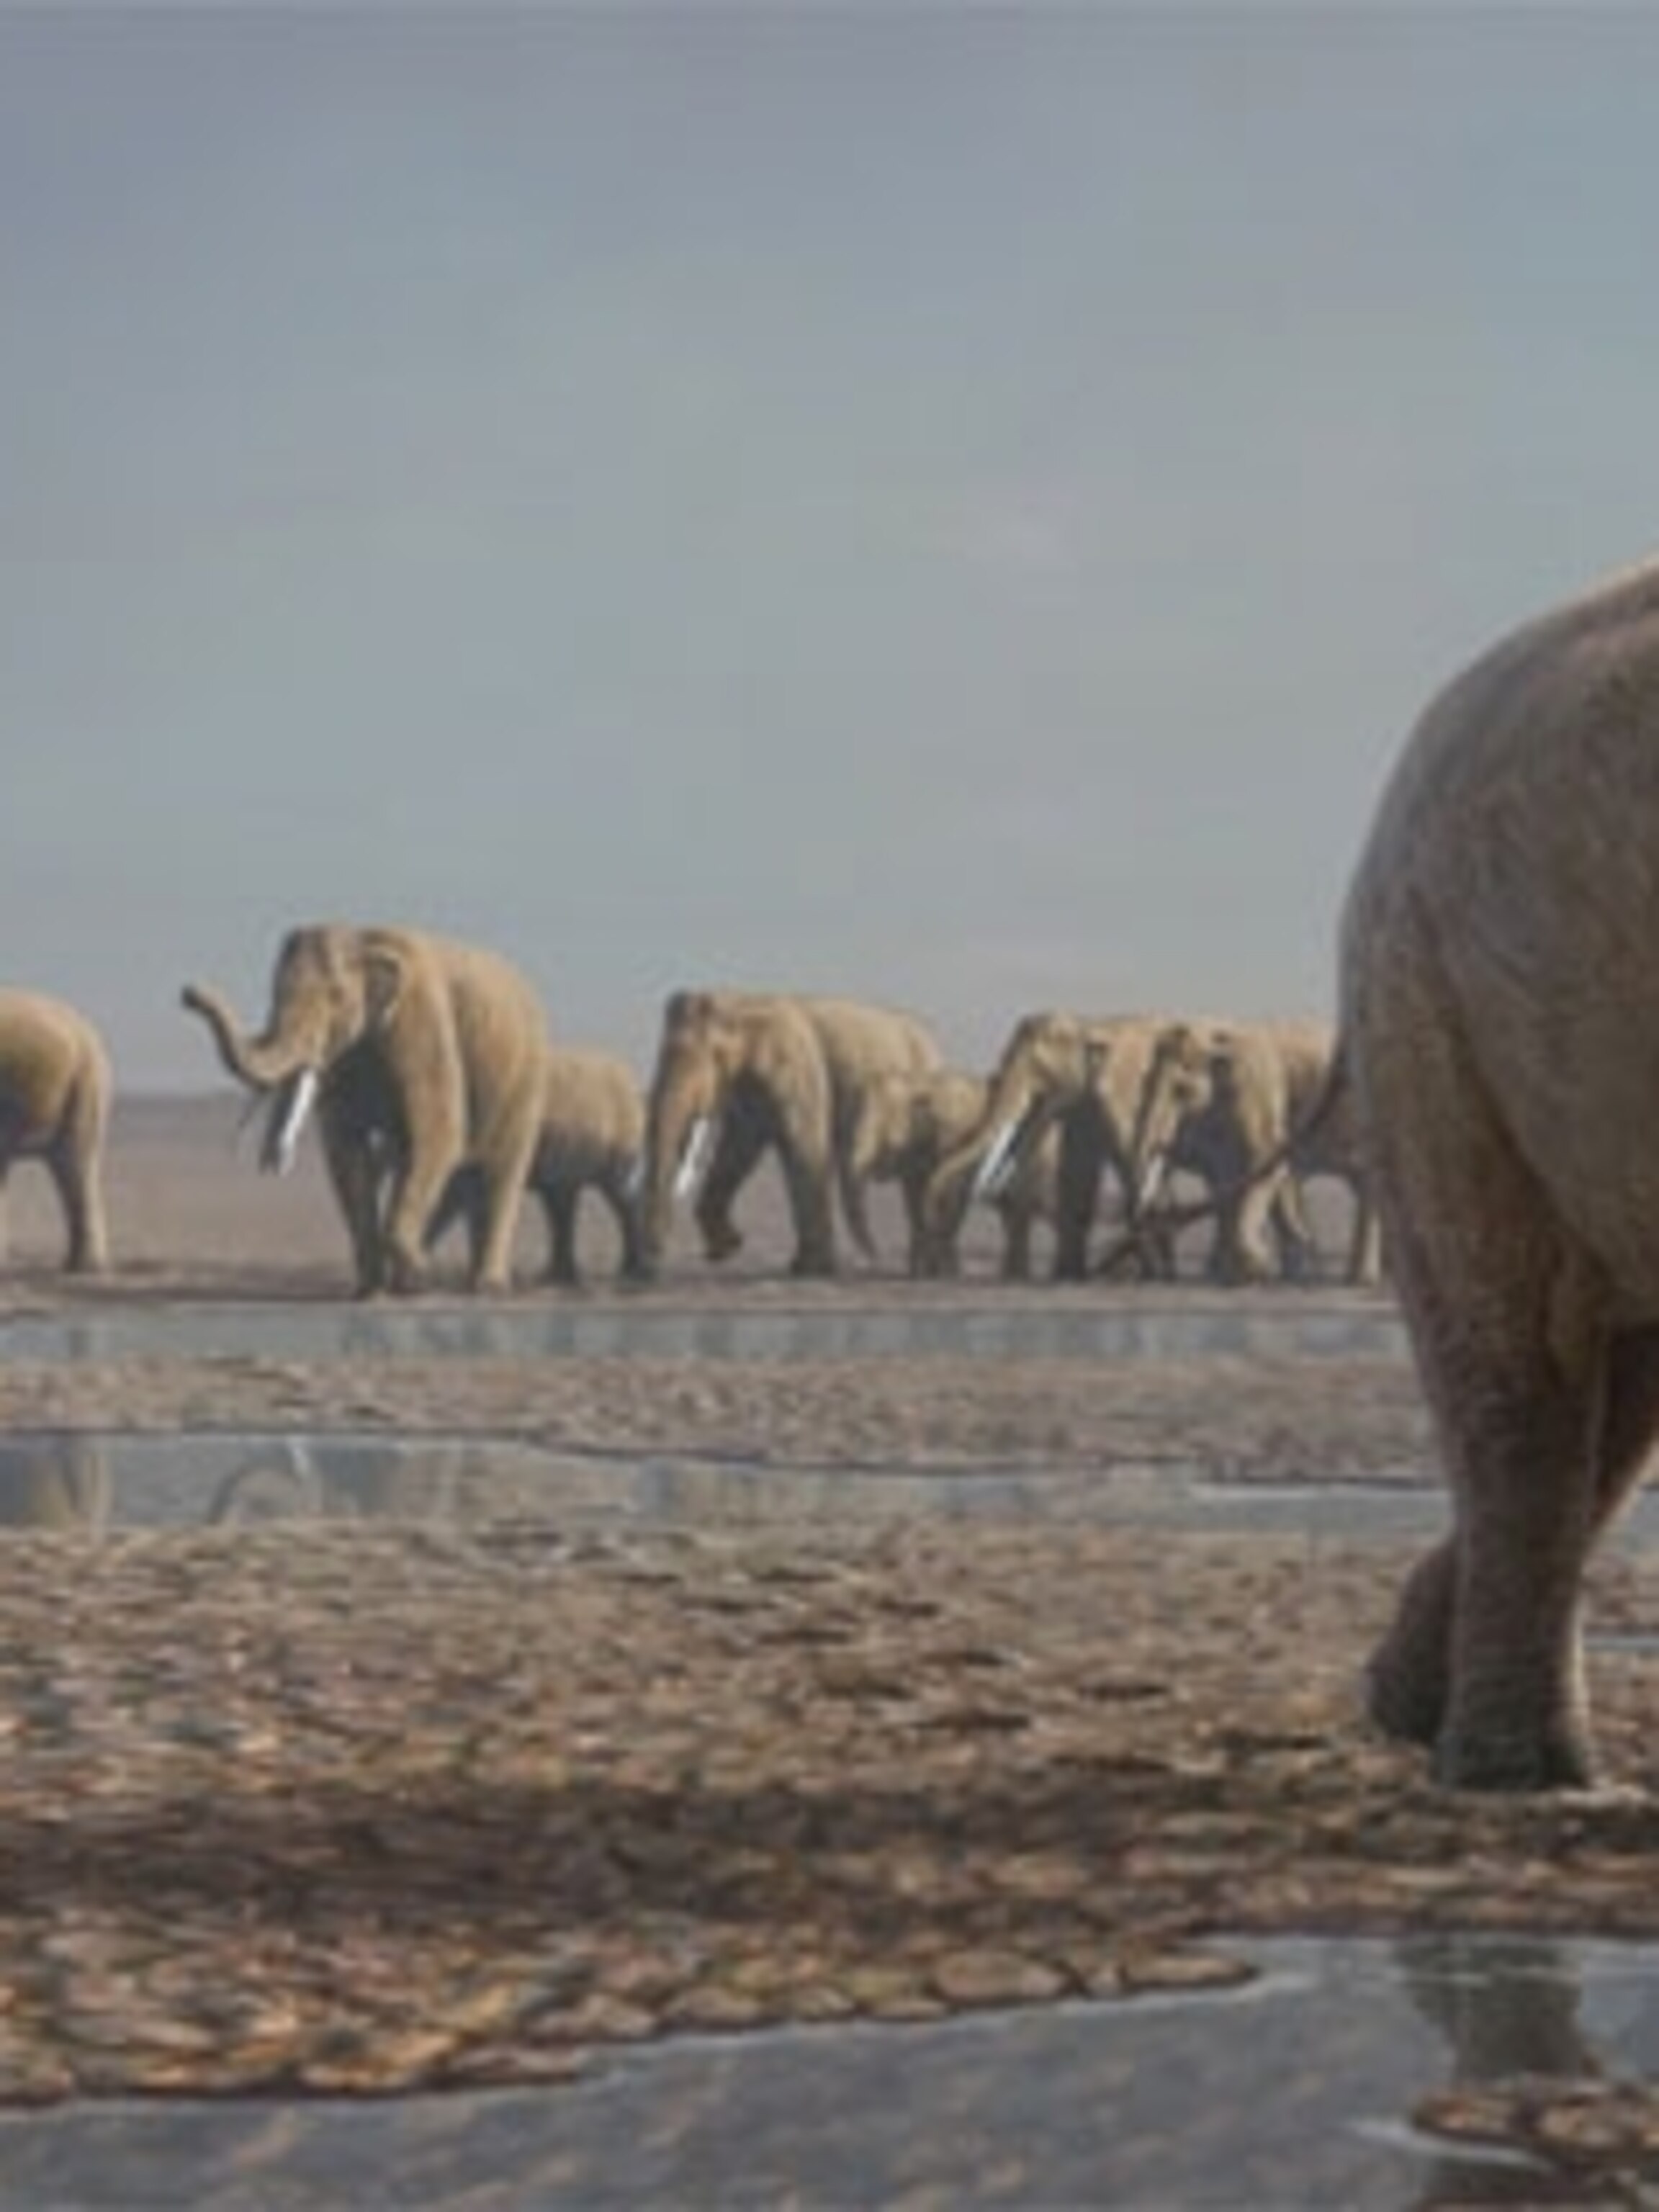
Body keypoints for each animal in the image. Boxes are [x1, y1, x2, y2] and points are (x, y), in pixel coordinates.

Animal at [182, 924, 548, 1297]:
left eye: (336, 995)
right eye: (274, 993)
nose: (189, 994)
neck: (362, 939)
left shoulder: (421, 1025)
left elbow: (441, 1133)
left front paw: (421, 1277)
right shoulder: (346, 1060)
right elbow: (346, 1152)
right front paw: (370, 1292)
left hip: (527, 1078)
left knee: (502, 1171)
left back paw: (488, 1287)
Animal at [638, 989, 943, 1279]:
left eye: (713, 1055)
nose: (652, 1267)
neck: (741, 999)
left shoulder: (798, 1066)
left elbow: (804, 1146)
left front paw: (811, 1270)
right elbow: (738, 1149)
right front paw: (729, 1248)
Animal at [846, 1066, 1062, 1279]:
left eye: (883, 1132)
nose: (874, 1260)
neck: (920, 1081)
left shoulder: (954, 1137)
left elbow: (950, 1200)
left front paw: (944, 1273)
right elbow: (914, 1200)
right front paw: (919, 1273)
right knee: (1017, 1218)